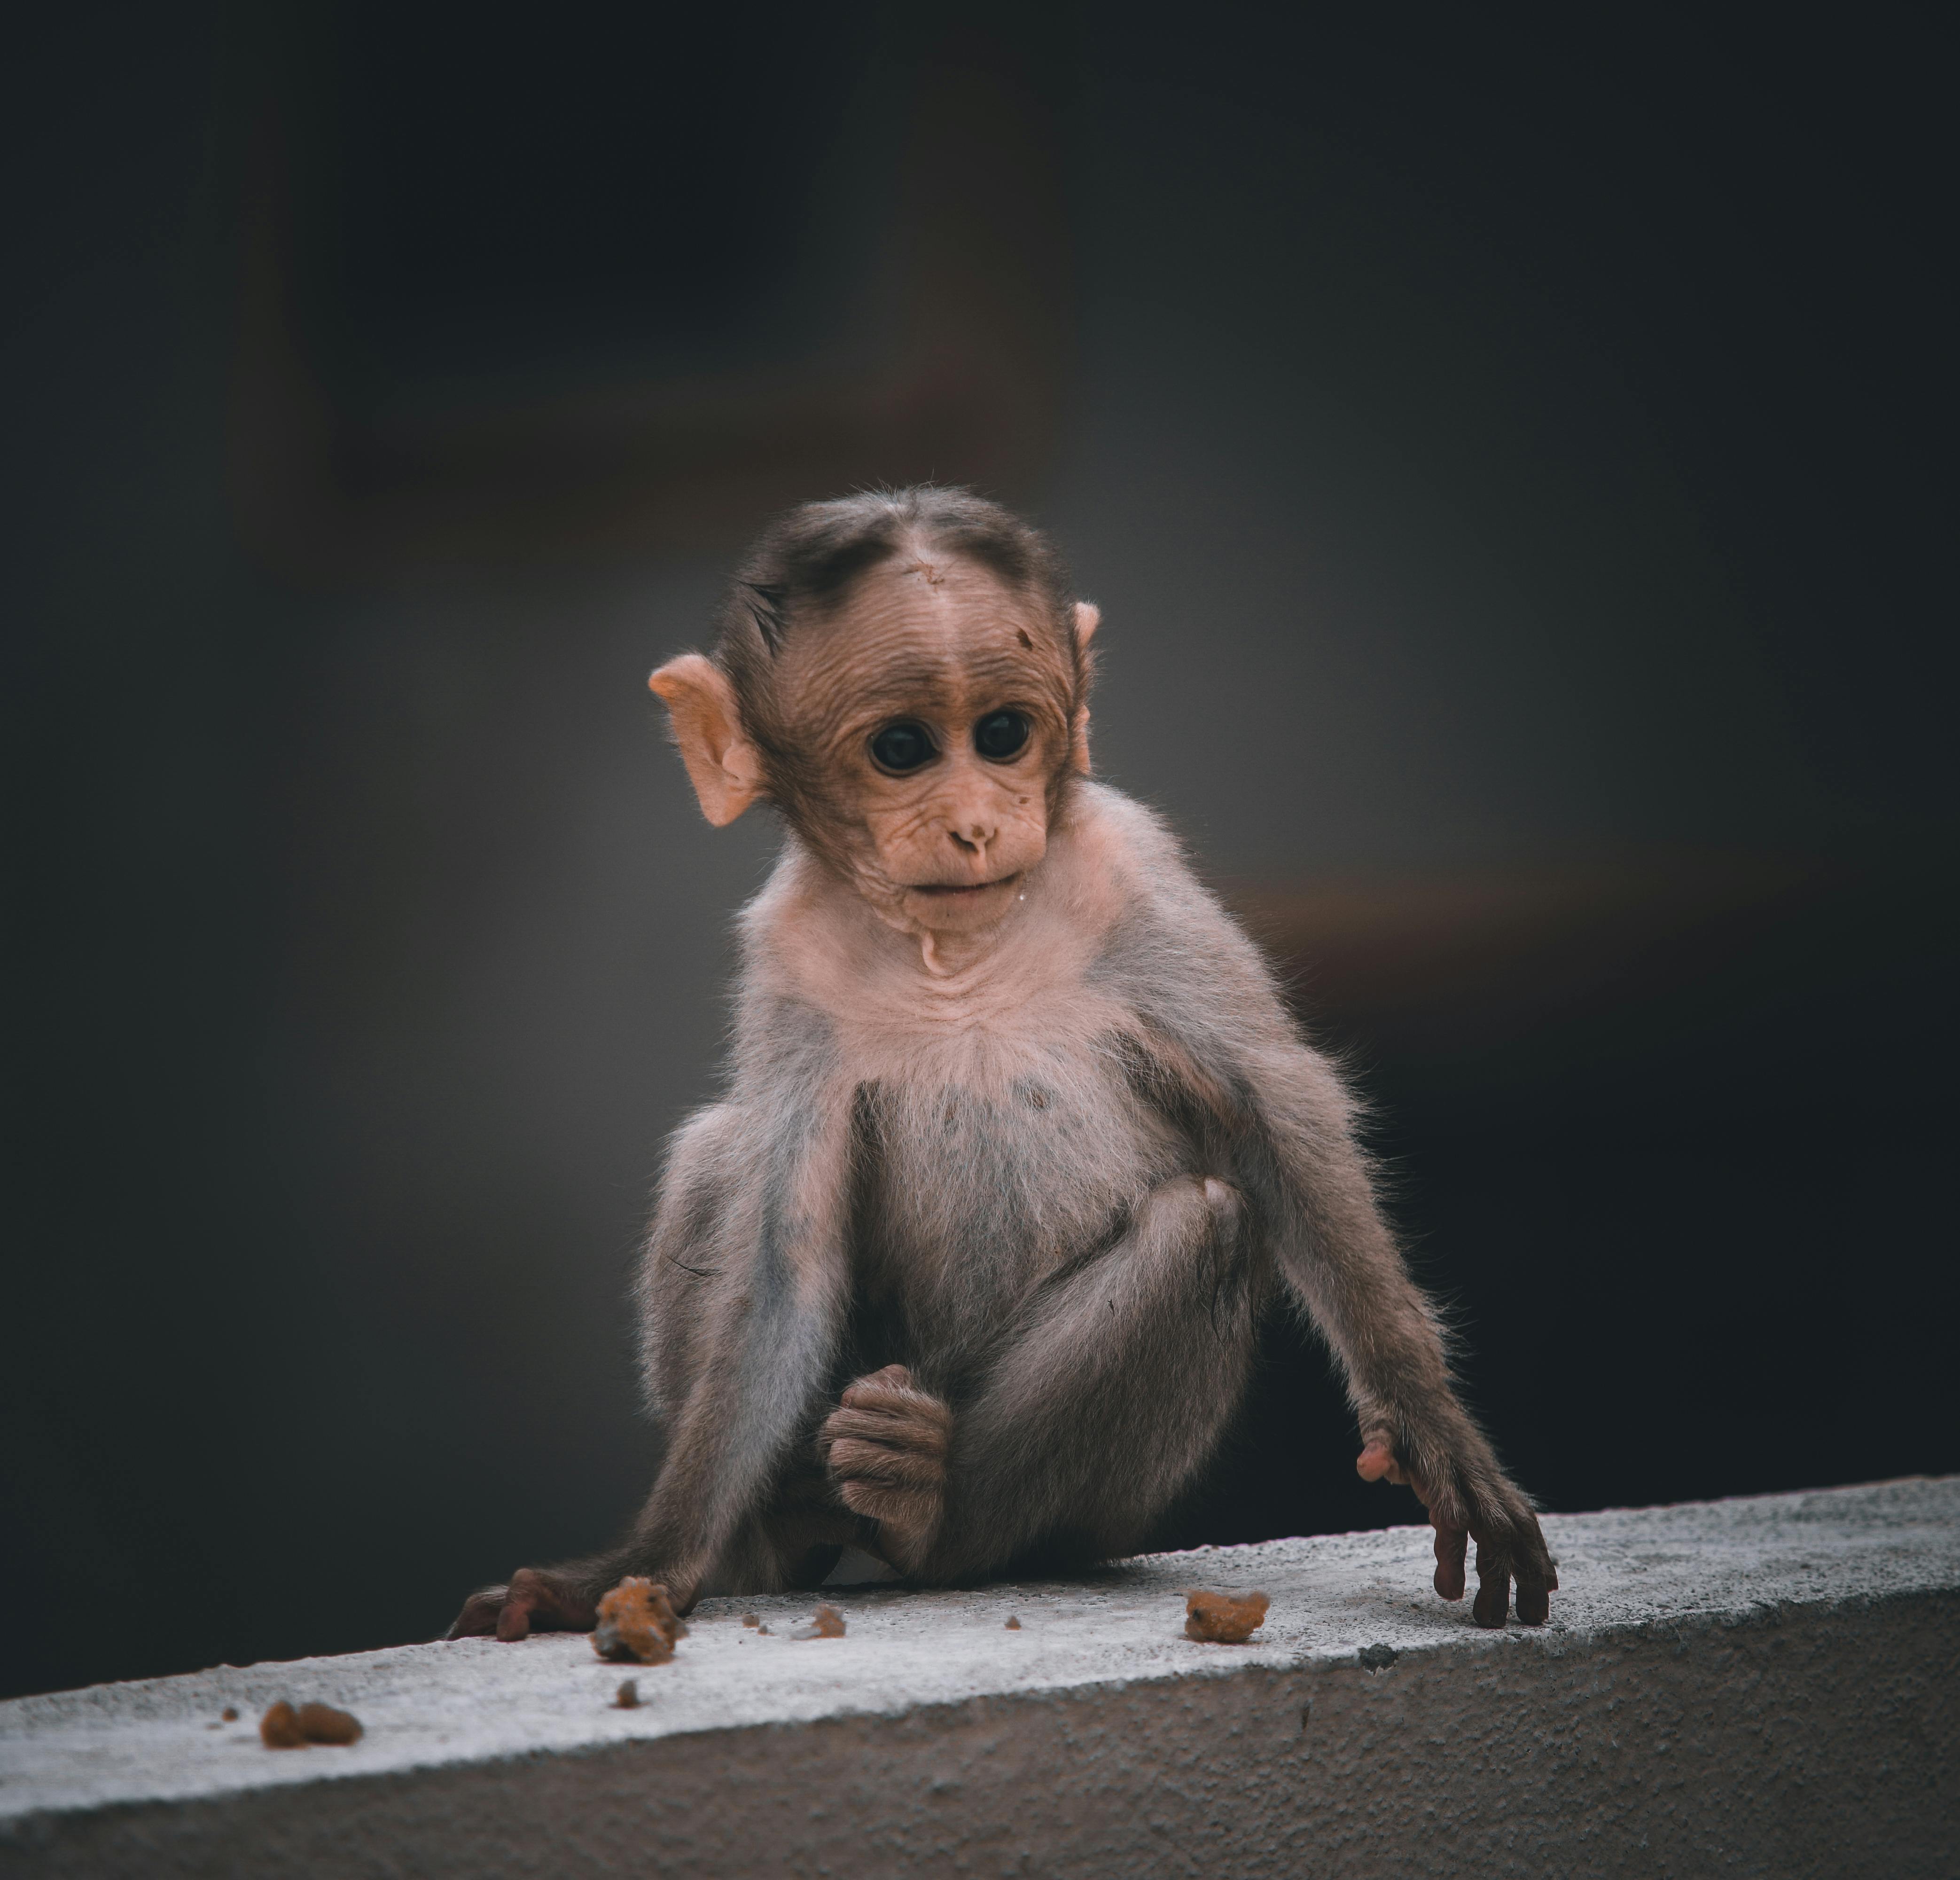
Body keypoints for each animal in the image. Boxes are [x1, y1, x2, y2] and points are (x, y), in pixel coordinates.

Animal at [447, 486, 1556, 1644]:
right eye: (901, 748)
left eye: (1003, 734)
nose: (980, 824)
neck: (958, 953)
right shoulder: (785, 955)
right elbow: (781, 1250)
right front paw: (640, 1566)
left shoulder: (1131, 865)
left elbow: (1269, 1107)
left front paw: (1431, 1429)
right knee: (719, 1148)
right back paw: (782, 1529)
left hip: (1106, 1500)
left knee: (1203, 1224)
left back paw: (931, 1512)